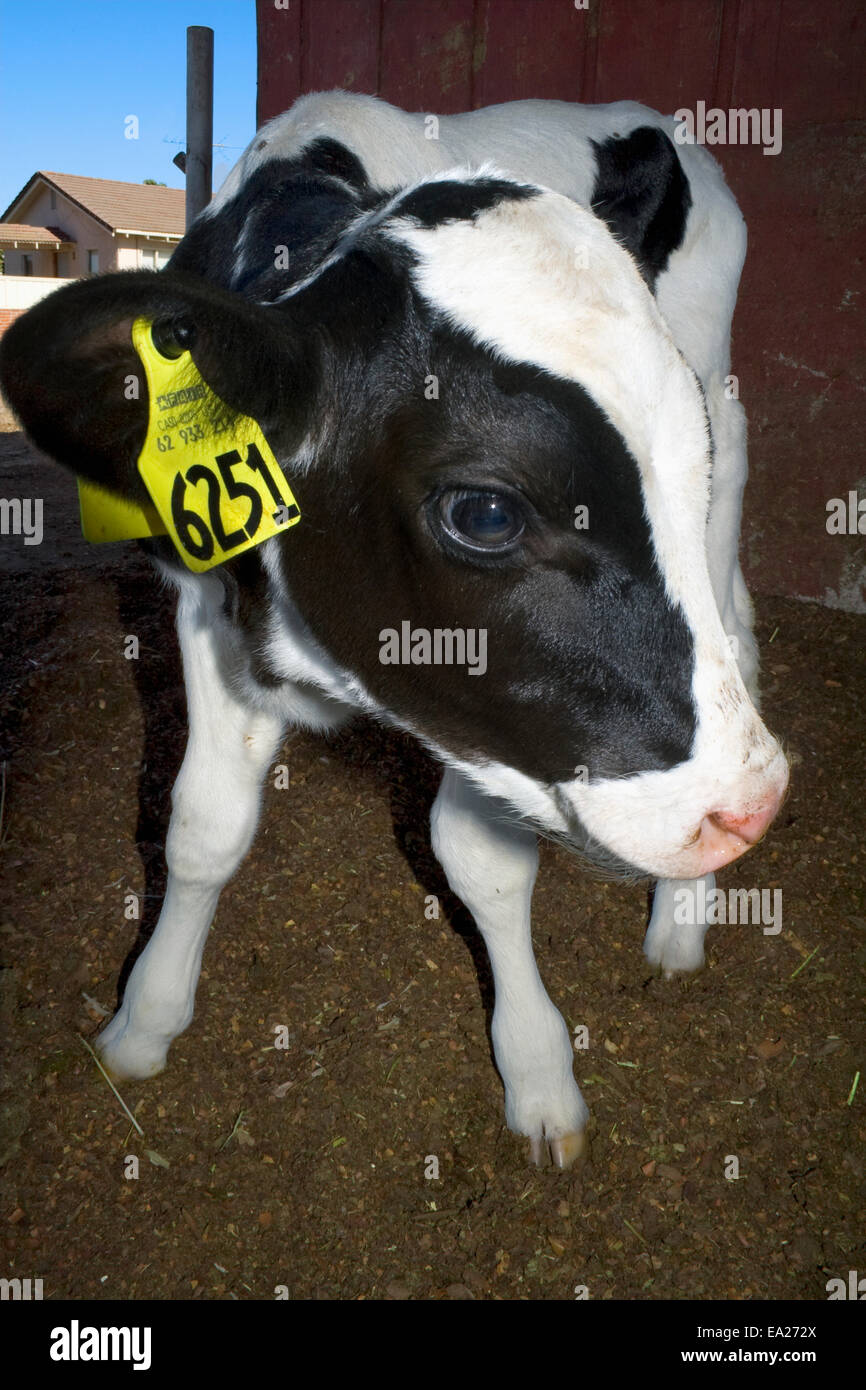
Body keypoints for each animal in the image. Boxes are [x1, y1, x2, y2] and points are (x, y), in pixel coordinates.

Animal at [0, 91, 789, 1168]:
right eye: (486, 513)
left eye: (684, 465)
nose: (748, 807)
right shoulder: (205, 602)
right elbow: (201, 823)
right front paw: (143, 1021)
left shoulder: (482, 712)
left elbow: (481, 863)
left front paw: (537, 1071)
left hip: (727, 444)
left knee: (737, 636)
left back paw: (679, 927)